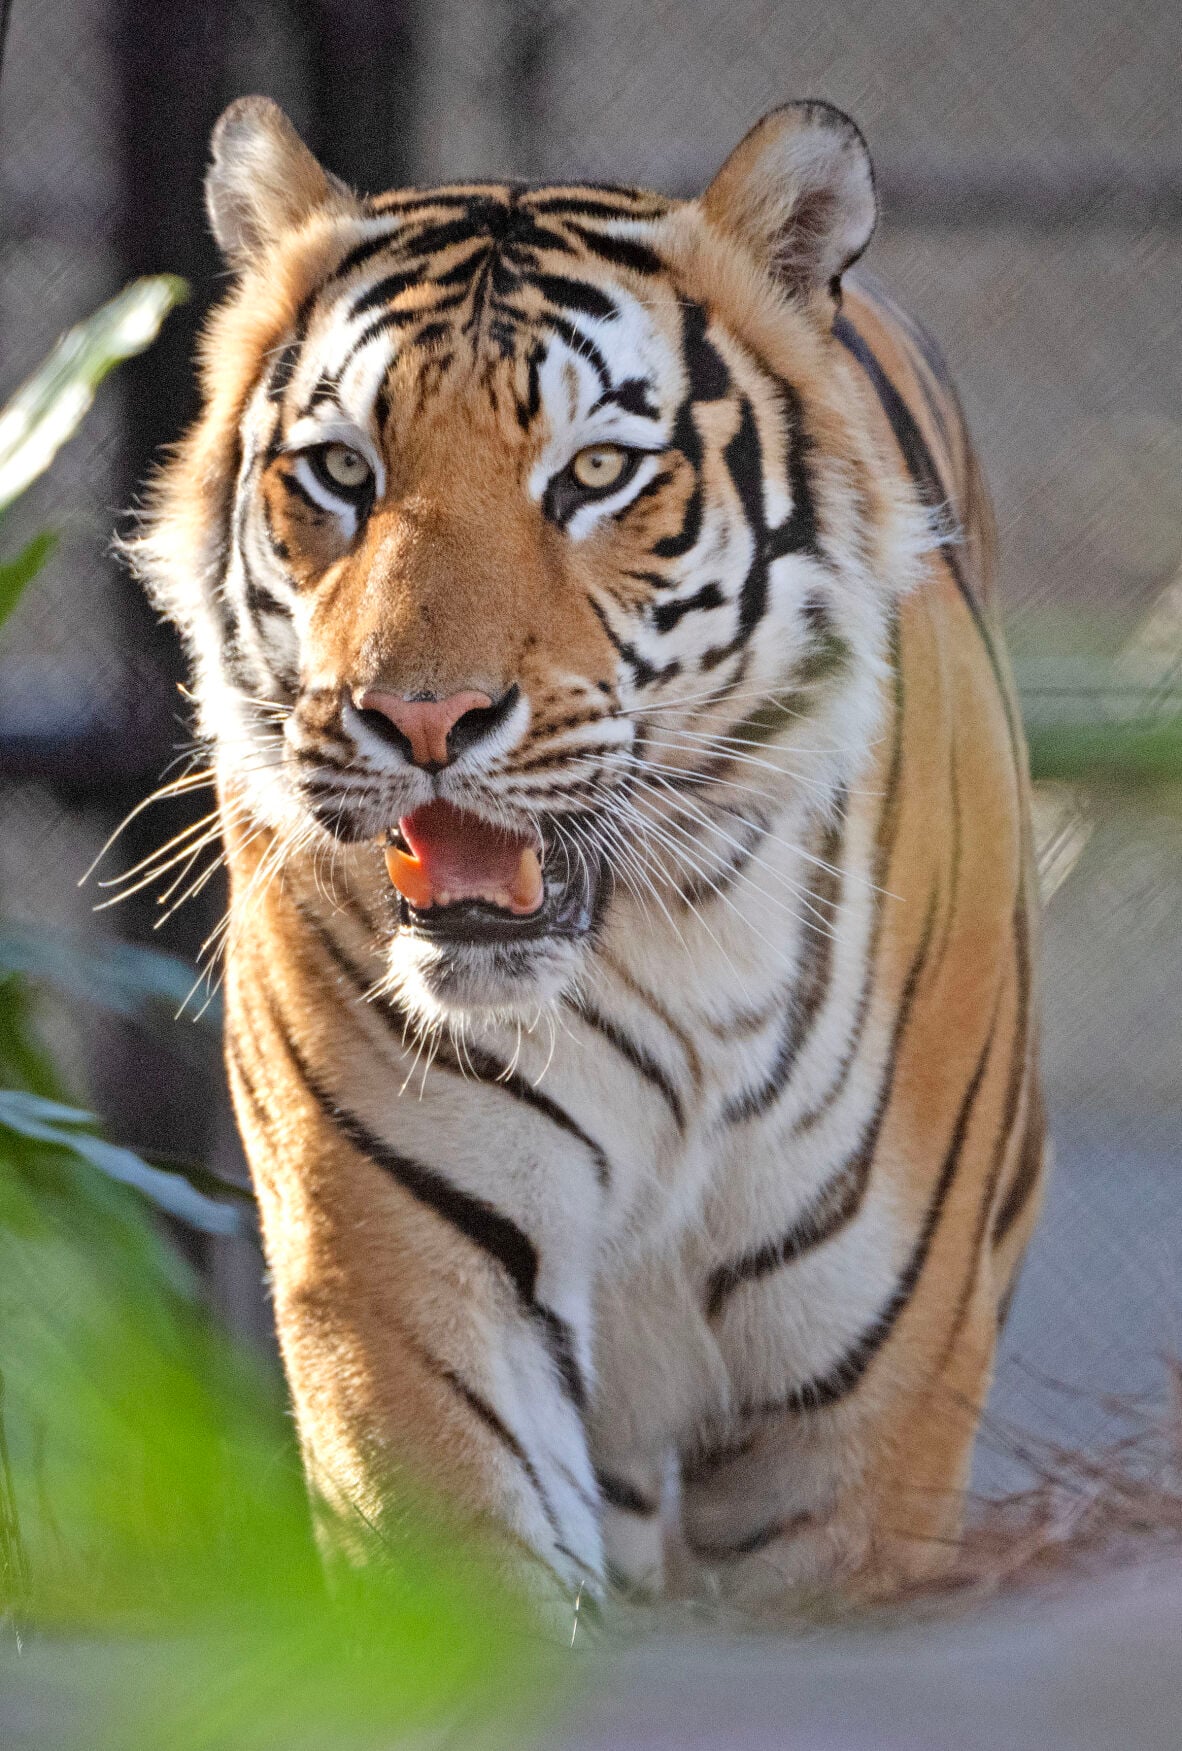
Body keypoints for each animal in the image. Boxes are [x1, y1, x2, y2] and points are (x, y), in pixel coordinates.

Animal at [131, 93, 1044, 1608]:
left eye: (598, 473)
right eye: (342, 471)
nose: (418, 716)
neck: (661, 943)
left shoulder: (865, 1410)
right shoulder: (413, 1294)